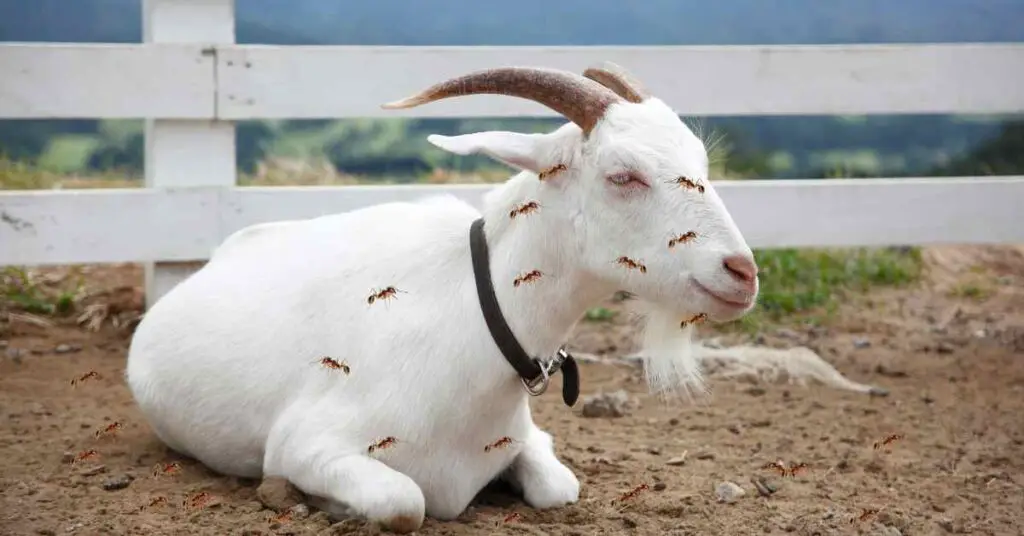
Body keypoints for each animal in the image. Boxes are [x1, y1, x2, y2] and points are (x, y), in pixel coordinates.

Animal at [124, 62, 760, 533]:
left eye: (700, 164)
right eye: (623, 175)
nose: (742, 272)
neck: (473, 323)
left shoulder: (530, 438)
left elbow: (560, 488)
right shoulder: (306, 444)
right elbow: (405, 503)